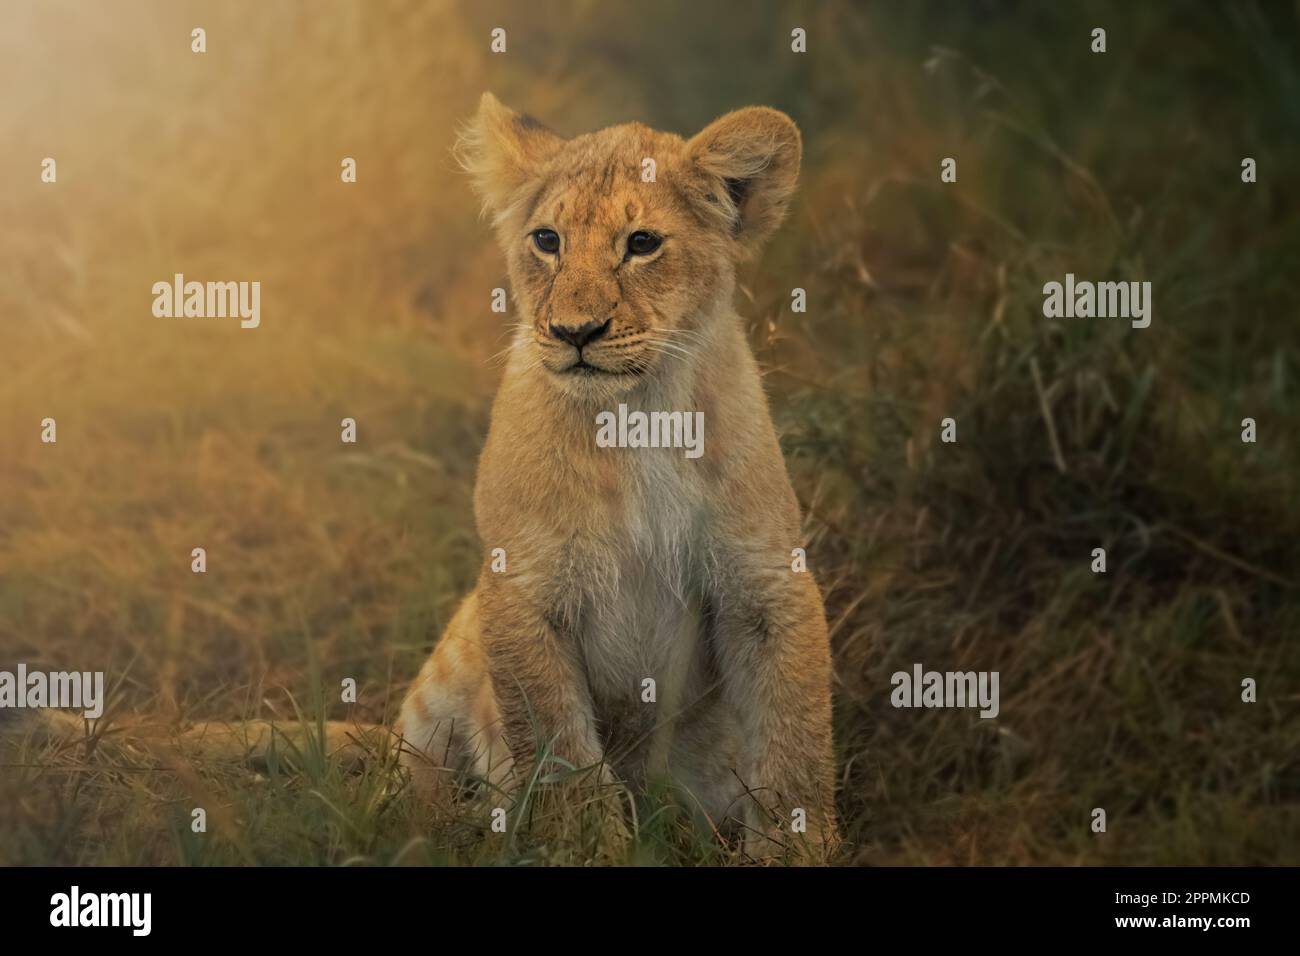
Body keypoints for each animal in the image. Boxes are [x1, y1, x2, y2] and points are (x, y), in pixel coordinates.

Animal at [394, 93, 838, 860]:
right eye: (547, 240)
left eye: (642, 243)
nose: (575, 331)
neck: (635, 420)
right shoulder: (519, 588)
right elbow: (560, 748)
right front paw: (585, 847)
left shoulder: (767, 581)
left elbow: (796, 740)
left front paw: (798, 848)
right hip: (449, 663)